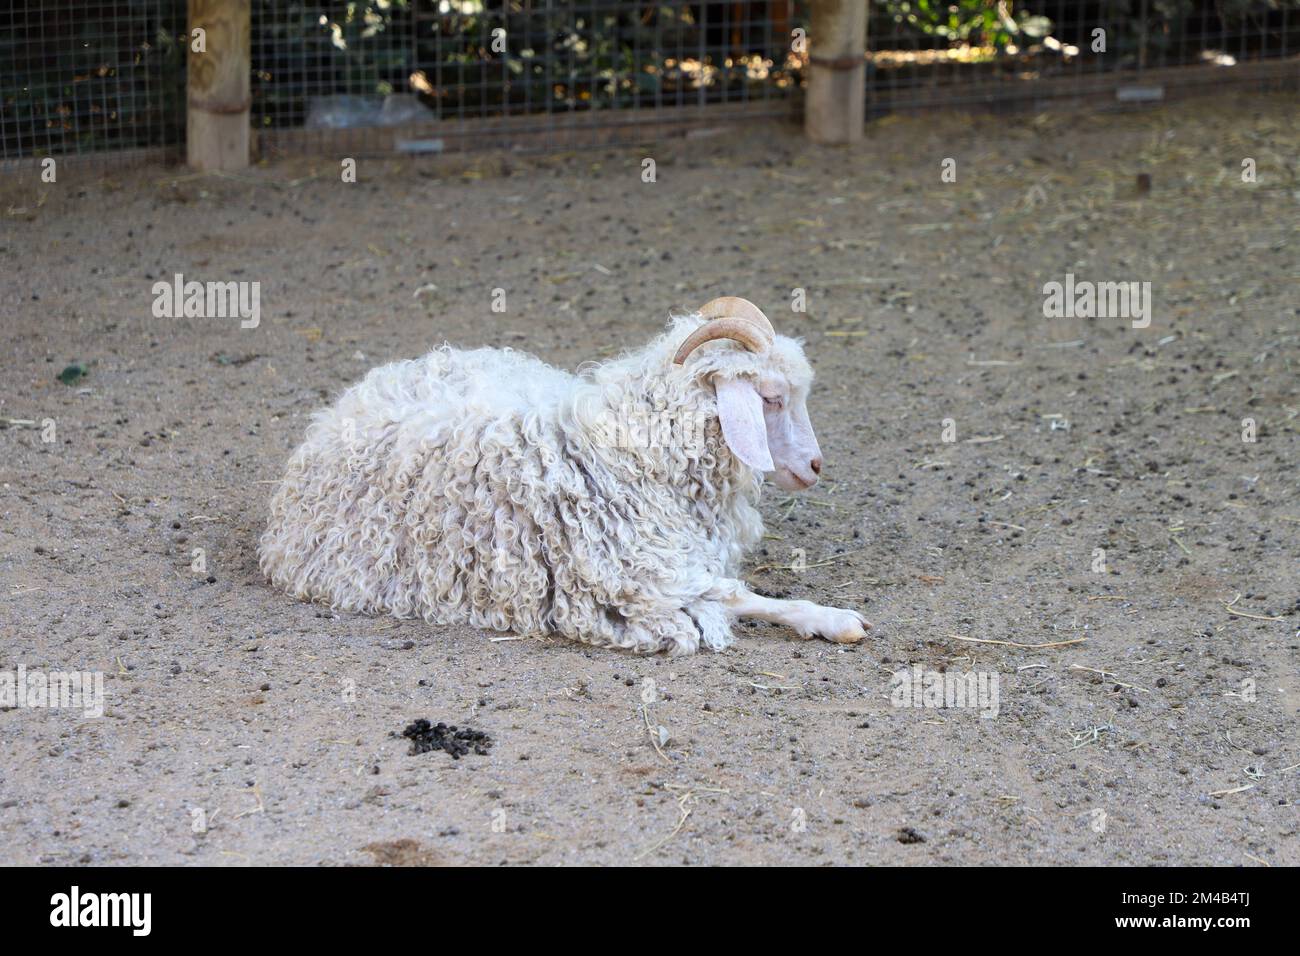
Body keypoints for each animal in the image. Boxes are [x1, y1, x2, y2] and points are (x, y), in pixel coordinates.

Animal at [258, 296, 869, 655]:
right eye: (771, 397)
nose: (815, 467)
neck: (629, 452)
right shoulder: (632, 578)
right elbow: (736, 598)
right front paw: (833, 619)